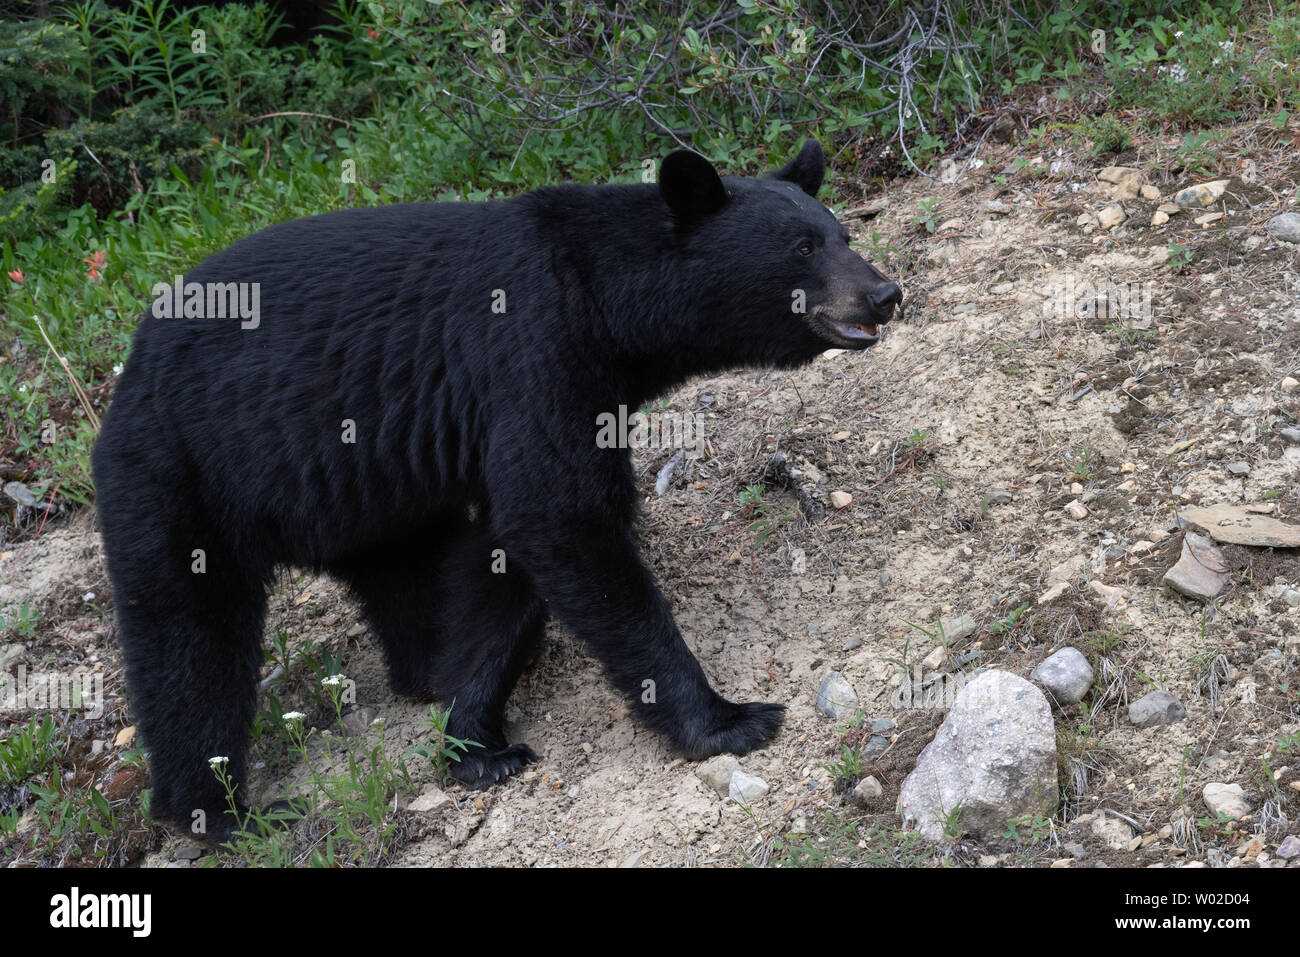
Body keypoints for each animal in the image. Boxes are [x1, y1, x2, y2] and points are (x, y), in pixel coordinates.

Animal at [91, 139, 901, 841]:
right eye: (801, 248)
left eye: (841, 231)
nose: (884, 293)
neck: (606, 302)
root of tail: (125, 372)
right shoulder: (531, 352)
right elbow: (564, 519)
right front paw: (725, 718)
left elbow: (510, 558)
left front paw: (476, 741)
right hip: (177, 474)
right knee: (190, 640)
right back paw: (220, 811)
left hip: (368, 501)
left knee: (403, 581)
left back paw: (422, 673)